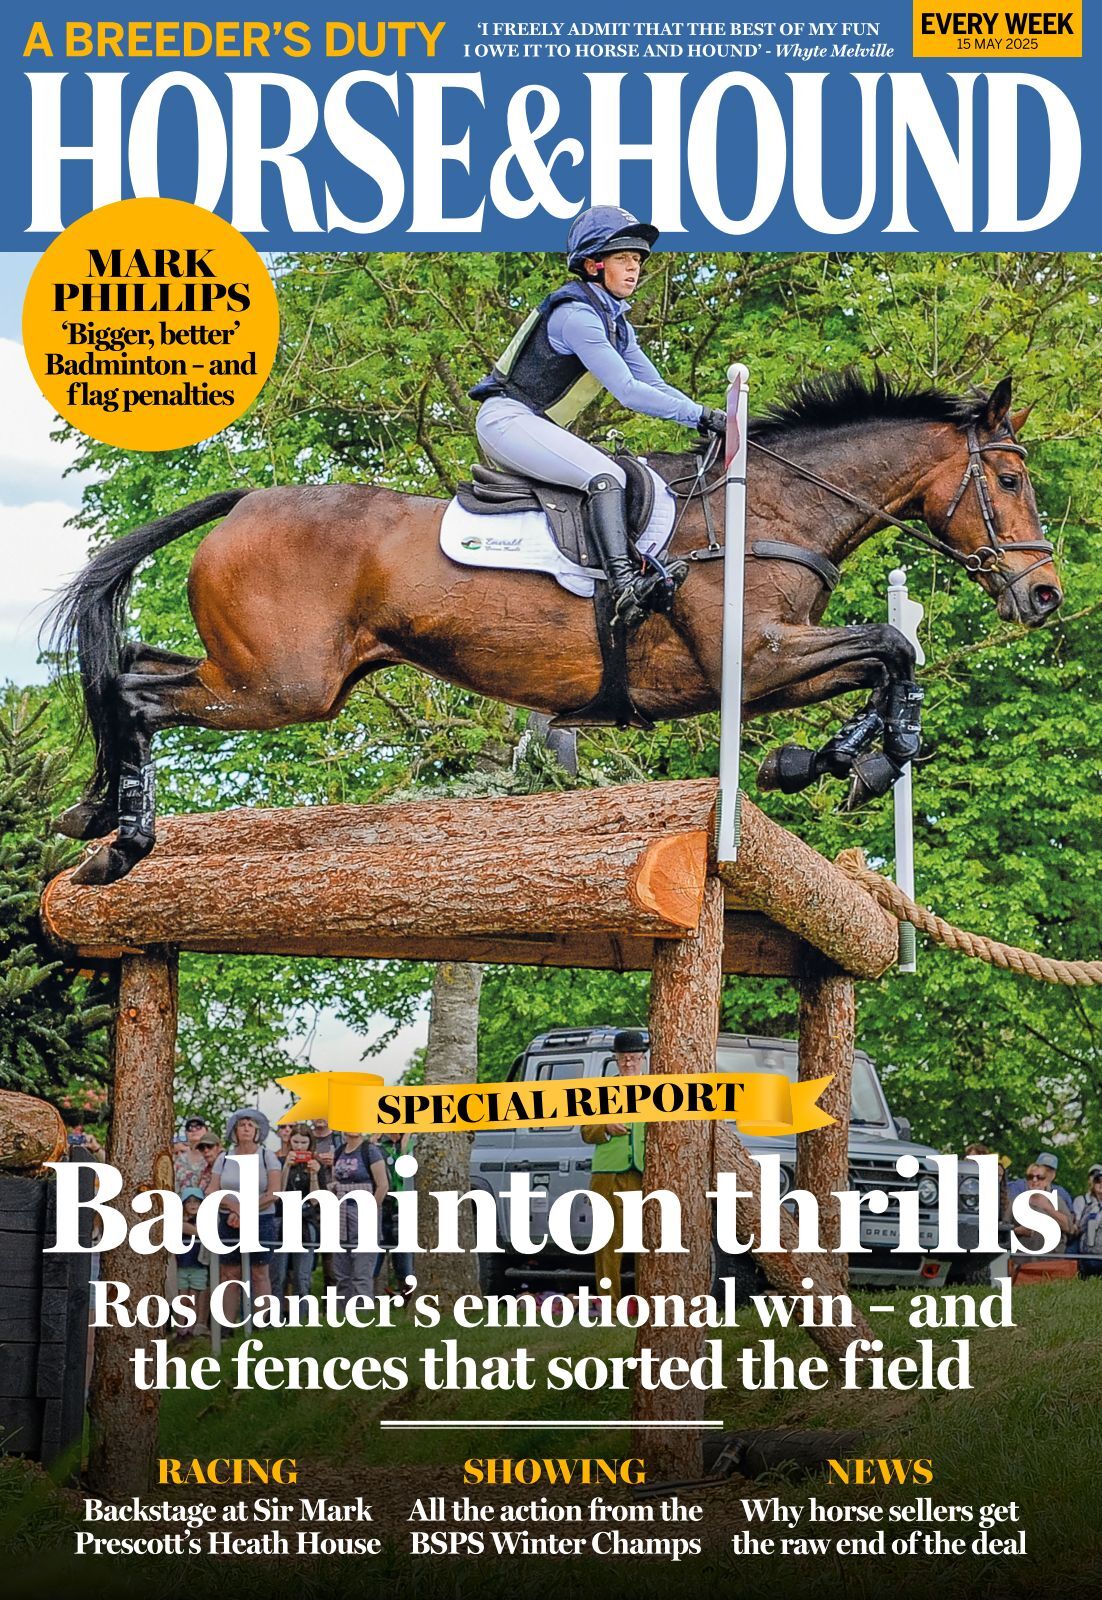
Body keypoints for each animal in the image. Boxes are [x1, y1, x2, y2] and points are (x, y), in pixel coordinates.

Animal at [48, 370, 1062, 887]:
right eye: (1011, 480)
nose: (1045, 595)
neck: (772, 505)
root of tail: (246, 499)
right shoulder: (754, 658)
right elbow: (893, 645)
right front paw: (866, 759)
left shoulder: (777, 665)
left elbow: (890, 658)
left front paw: (835, 759)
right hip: (283, 685)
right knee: (137, 691)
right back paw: (123, 842)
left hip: (275, 674)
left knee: (130, 665)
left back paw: (93, 813)